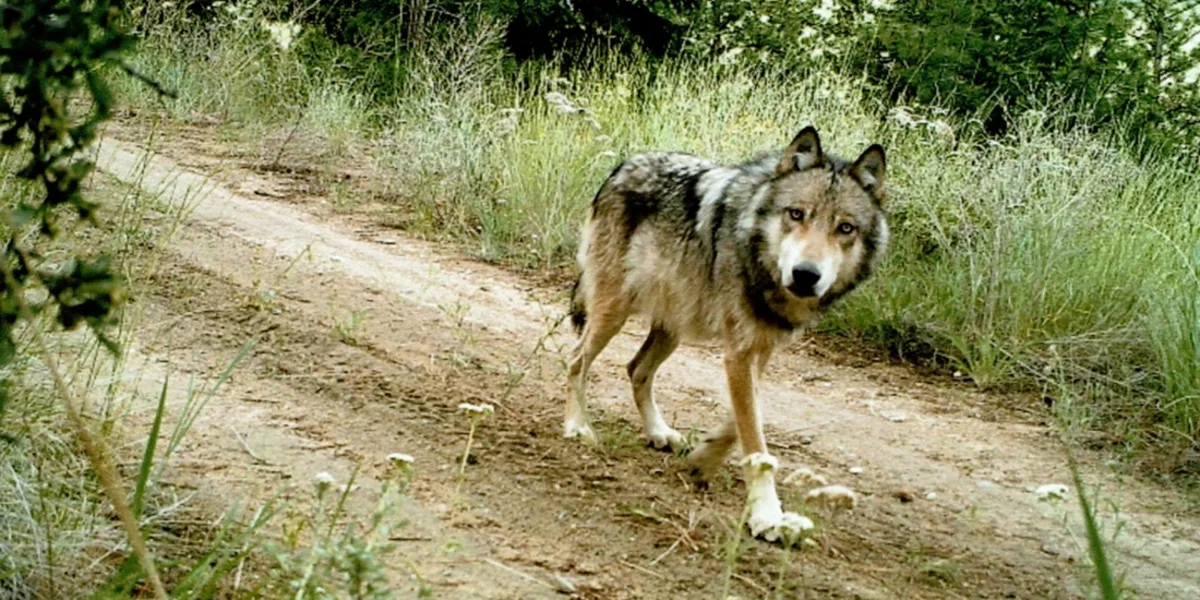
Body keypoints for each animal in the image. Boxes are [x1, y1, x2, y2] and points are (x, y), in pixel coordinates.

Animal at [565, 126, 889, 544]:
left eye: (845, 228)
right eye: (796, 214)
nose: (805, 274)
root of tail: (623, 164)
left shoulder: (759, 350)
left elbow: (743, 422)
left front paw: (704, 459)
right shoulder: (739, 353)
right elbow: (755, 441)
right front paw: (768, 516)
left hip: (674, 324)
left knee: (636, 369)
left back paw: (659, 432)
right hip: (612, 313)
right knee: (577, 360)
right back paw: (577, 426)